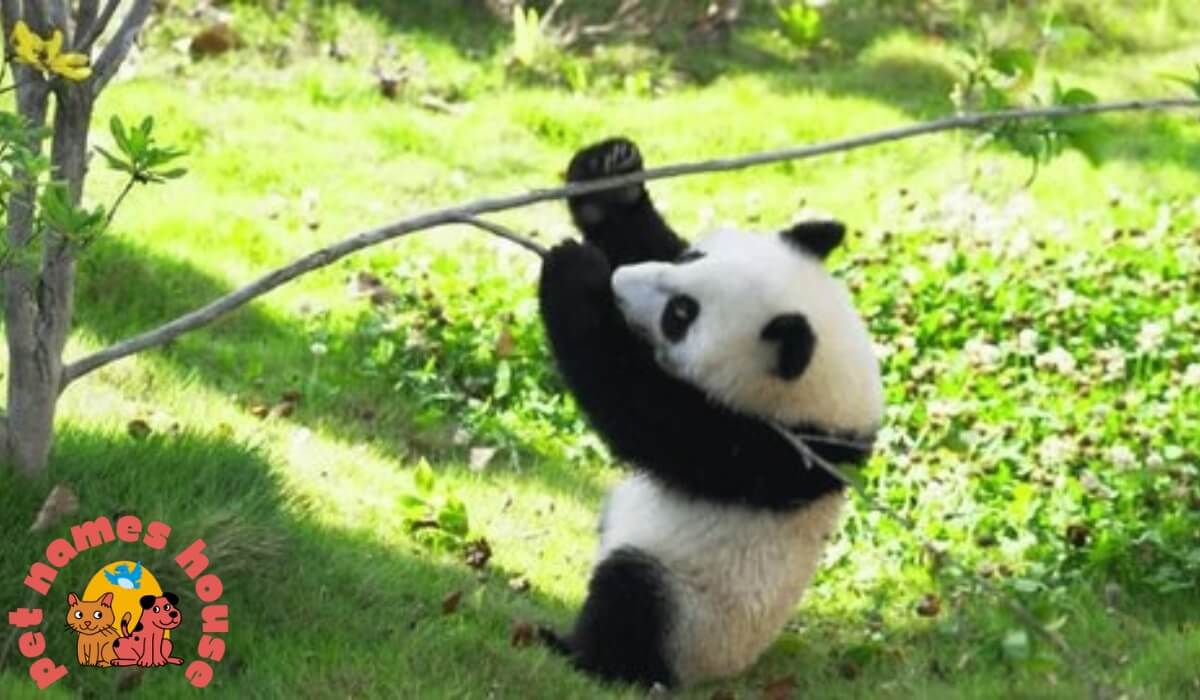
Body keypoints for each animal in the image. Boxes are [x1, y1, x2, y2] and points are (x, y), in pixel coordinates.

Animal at [535, 137, 884, 688]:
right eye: (692, 256)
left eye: (680, 314)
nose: (619, 282)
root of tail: (724, 673)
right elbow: (644, 240)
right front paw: (611, 172)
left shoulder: (763, 454)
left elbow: (641, 413)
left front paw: (575, 274)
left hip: (694, 608)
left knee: (632, 597)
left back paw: (582, 655)